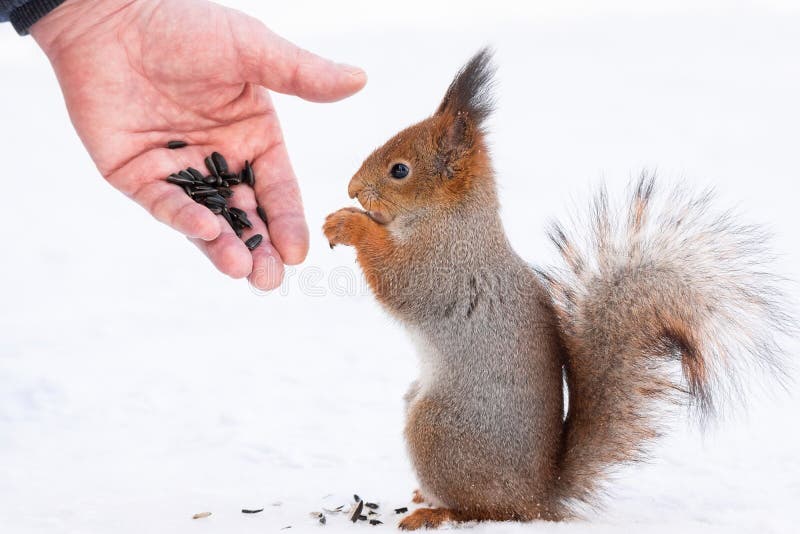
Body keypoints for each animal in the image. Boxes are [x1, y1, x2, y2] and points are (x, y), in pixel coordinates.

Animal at [323, 48, 792, 530]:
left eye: (400, 170)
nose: (353, 189)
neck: (452, 217)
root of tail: (536, 499)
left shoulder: (440, 265)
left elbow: (395, 278)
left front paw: (348, 224)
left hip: (437, 430)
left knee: (480, 509)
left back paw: (435, 512)